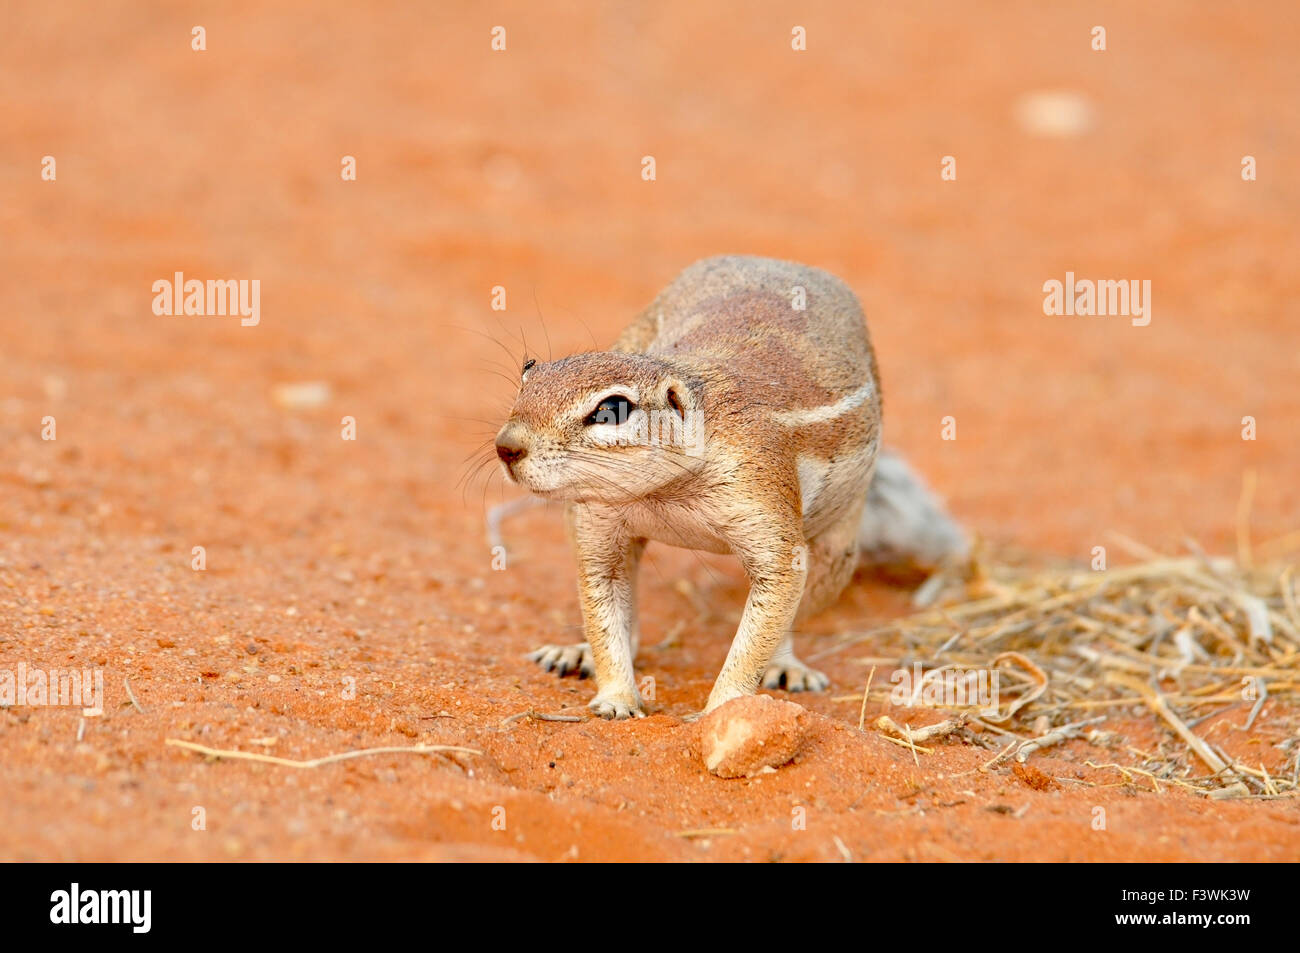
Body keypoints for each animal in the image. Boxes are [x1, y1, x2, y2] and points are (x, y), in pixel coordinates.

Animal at [495, 255, 966, 719]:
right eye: (528, 373)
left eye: (613, 409)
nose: (506, 447)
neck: (664, 491)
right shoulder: (598, 518)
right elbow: (604, 606)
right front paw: (616, 695)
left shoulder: (760, 497)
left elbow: (767, 617)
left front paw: (725, 705)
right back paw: (579, 654)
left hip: (839, 546)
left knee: (796, 610)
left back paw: (787, 665)